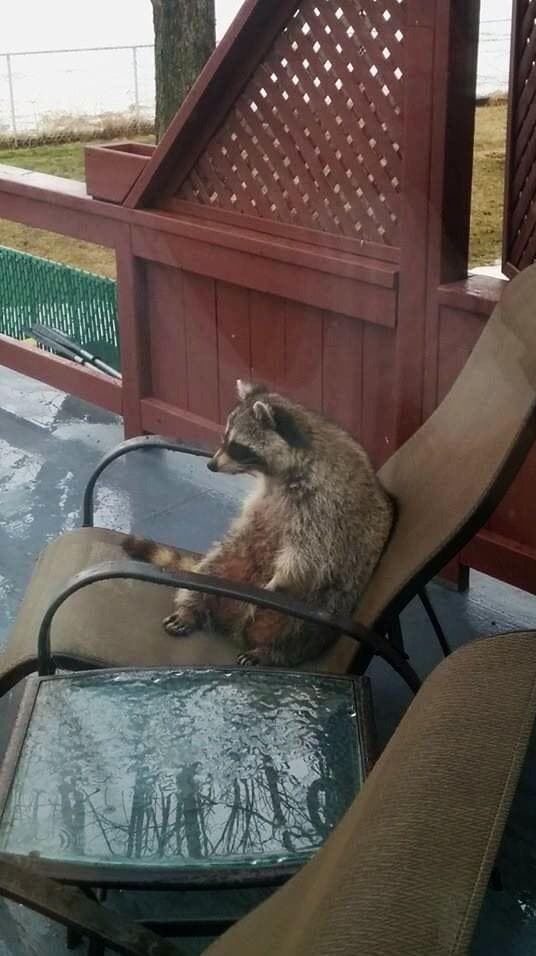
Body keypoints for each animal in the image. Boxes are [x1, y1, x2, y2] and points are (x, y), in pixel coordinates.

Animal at [123, 380, 395, 667]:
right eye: (224, 439)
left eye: (237, 446)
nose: (210, 465)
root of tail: (235, 627)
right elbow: (249, 517)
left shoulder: (326, 506)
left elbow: (307, 553)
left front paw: (280, 580)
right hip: (231, 560)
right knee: (209, 568)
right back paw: (191, 608)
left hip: (322, 603)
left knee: (298, 630)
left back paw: (272, 651)